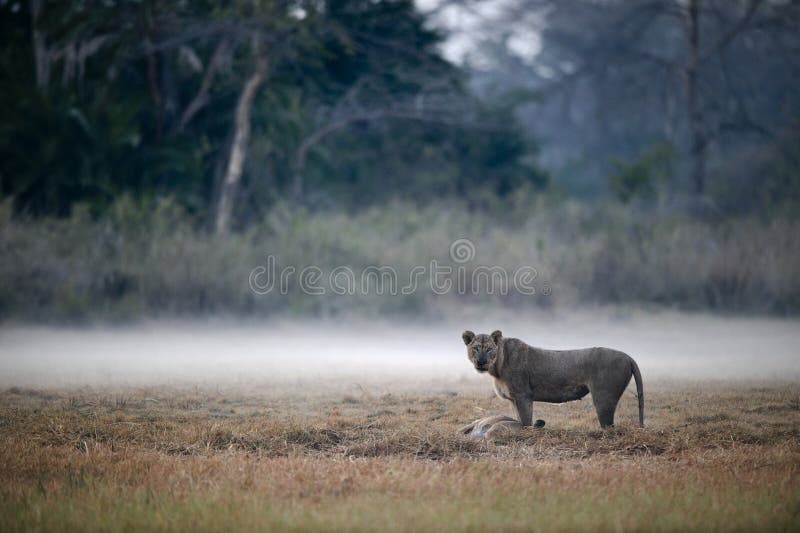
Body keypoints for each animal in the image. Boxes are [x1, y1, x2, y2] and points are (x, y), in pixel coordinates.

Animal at [459, 330, 644, 438]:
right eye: (475, 348)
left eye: (489, 349)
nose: (481, 362)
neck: (497, 367)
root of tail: (629, 357)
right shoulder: (513, 399)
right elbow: (518, 419)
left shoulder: (523, 395)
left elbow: (525, 423)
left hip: (604, 398)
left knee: (609, 426)